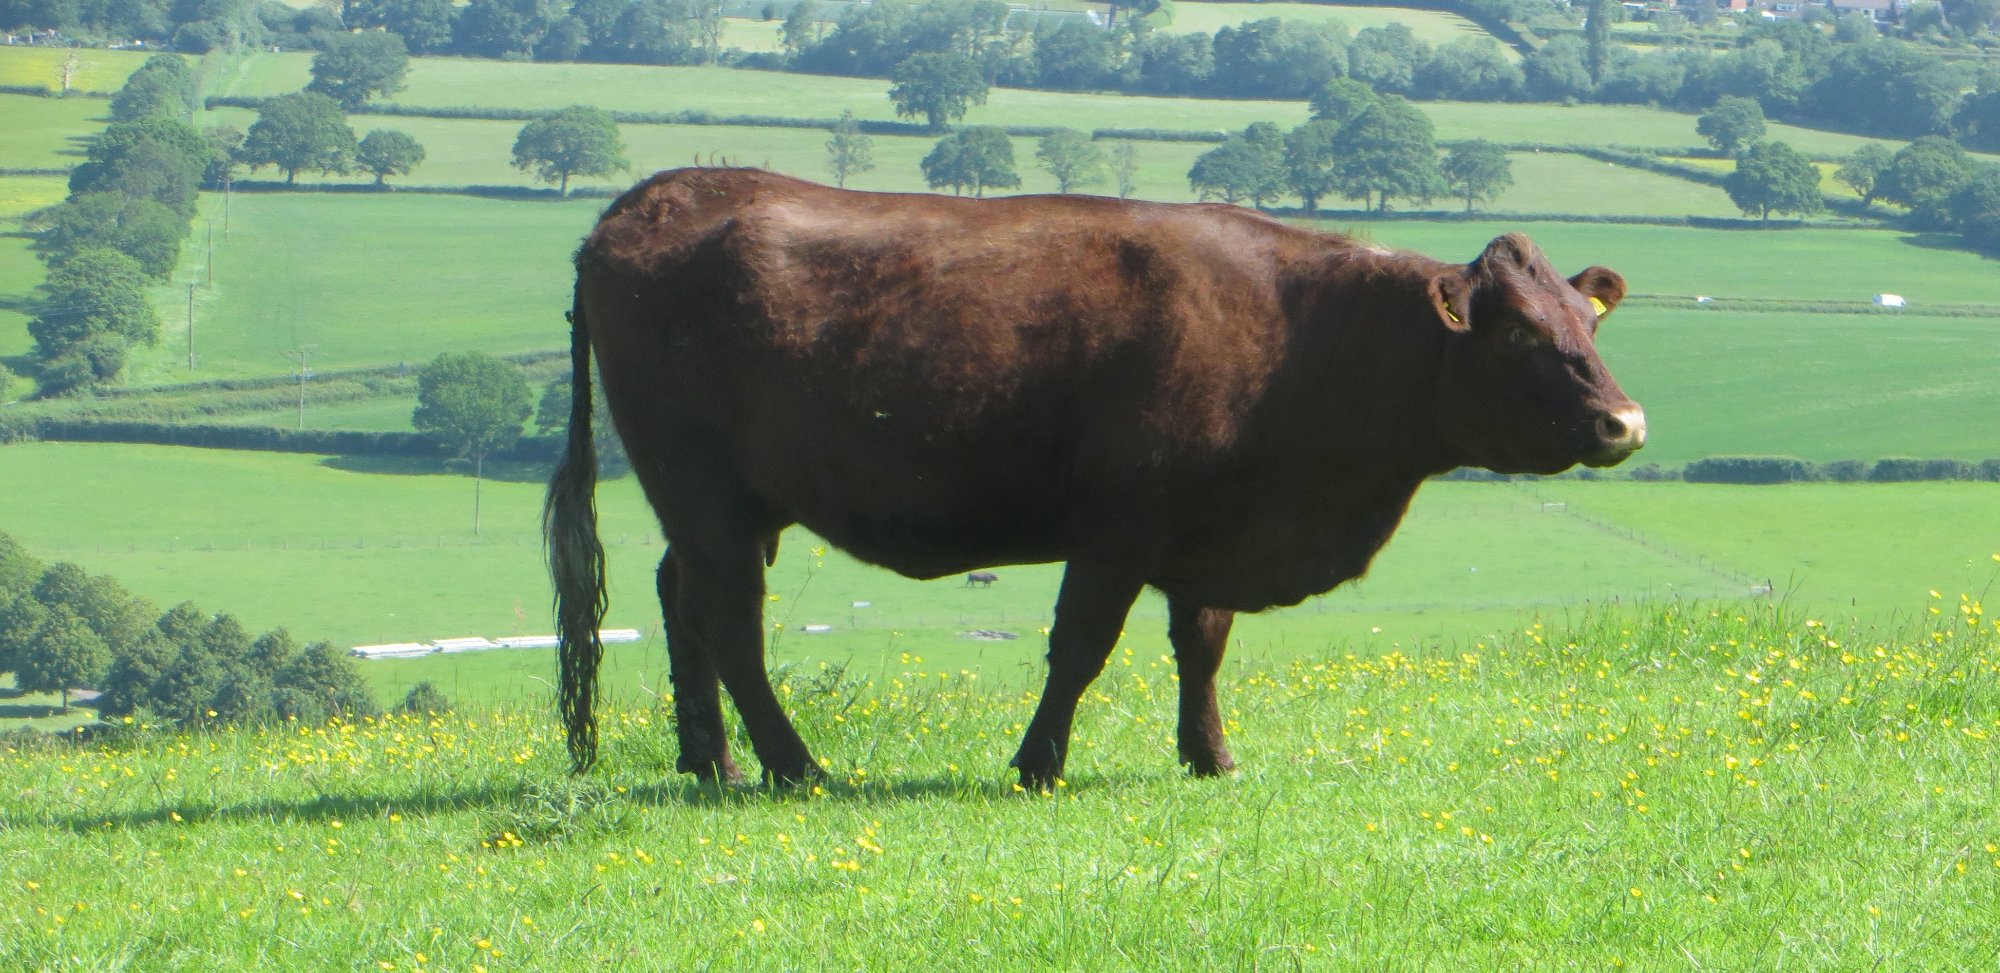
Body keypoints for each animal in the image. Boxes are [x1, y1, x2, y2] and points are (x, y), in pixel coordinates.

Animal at [546, 168, 1645, 789]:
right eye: (1516, 333)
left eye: (1586, 324)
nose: (1623, 422)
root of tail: (634, 208)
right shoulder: (1118, 525)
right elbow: (1078, 648)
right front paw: (1038, 764)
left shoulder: (1207, 531)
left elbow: (1202, 645)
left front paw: (1209, 756)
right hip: (701, 483)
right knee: (729, 618)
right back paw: (791, 763)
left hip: (732, 501)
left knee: (680, 597)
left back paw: (711, 758)